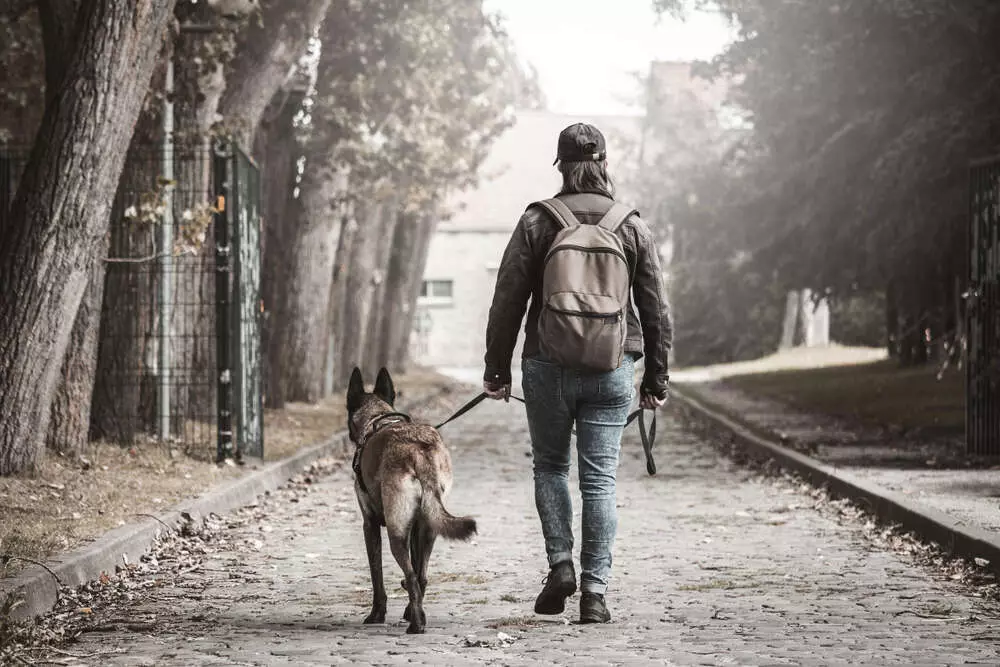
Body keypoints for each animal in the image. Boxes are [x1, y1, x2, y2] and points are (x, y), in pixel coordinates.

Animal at [348, 368, 476, 636]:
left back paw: (416, 625)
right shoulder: (418, 527)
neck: (377, 419)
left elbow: (377, 576)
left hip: (396, 532)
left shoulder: (370, 526)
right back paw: (415, 614)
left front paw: (376, 615)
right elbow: (418, 569)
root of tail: (419, 450)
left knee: (411, 576)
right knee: (421, 576)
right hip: (430, 527)